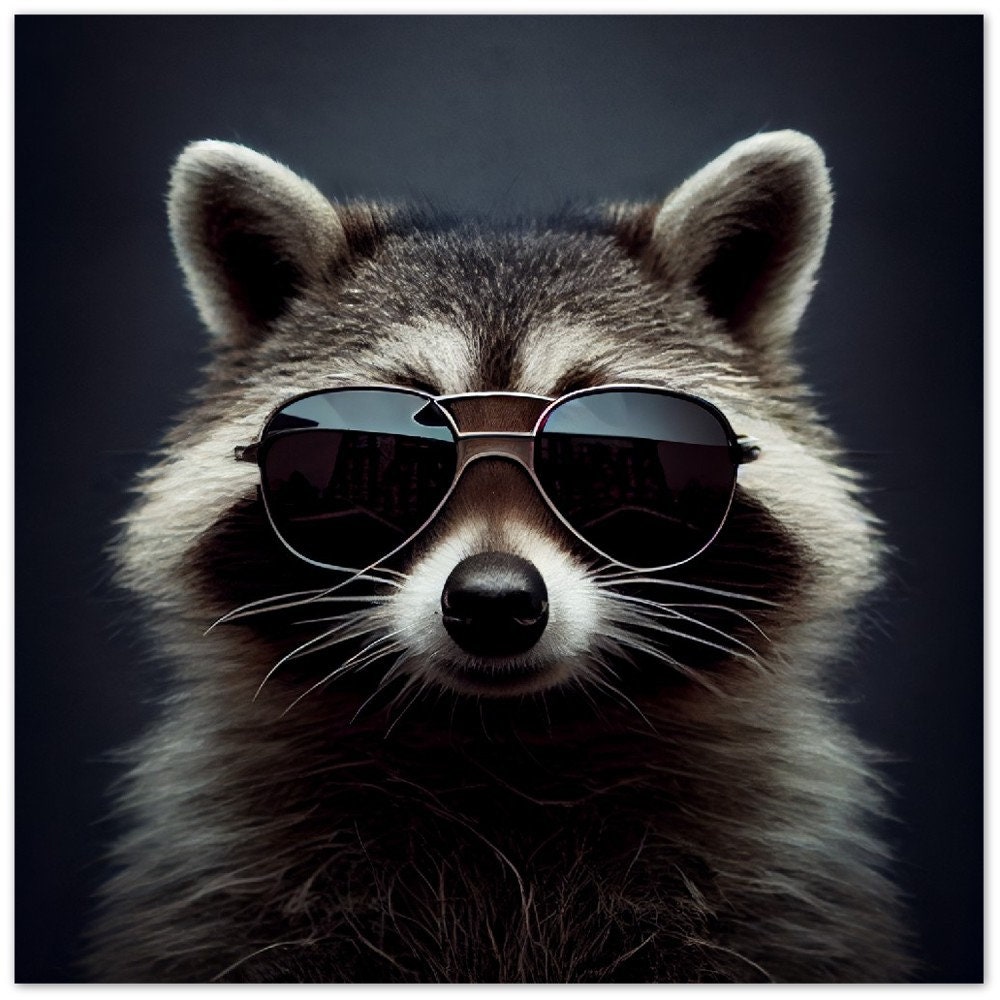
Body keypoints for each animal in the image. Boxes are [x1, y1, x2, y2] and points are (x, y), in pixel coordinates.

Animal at [85, 131, 910, 982]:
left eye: (605, 449)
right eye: (388, 448)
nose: (493, 601)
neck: (503, 743)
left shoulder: (778, 882)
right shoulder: (220, 877)